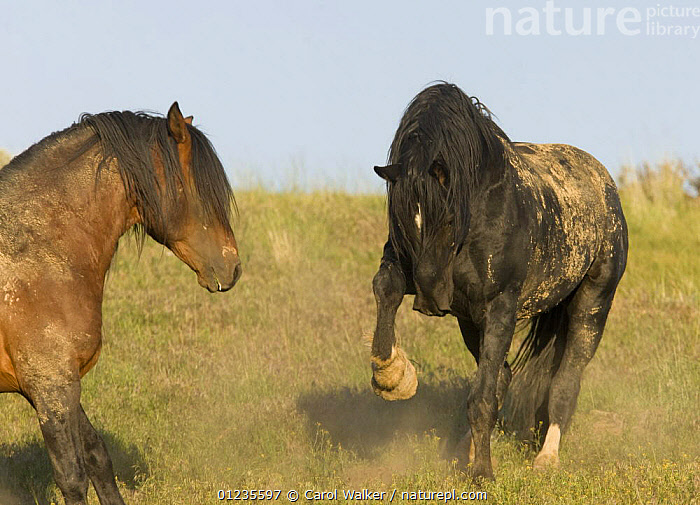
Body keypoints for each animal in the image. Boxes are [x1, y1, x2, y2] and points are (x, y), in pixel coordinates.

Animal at [0, 103, 242, 504]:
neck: (36, 255)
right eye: (201, 189)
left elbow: (97, 456)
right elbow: (71, 476)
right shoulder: (51, 386)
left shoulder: (63, 384)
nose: (233, 266)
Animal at [370, 83, 628, 480]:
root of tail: (605, 184)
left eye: (447, 219)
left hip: (592, 305)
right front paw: (393, 377)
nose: (429, 300)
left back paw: (546, 458)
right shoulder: (409, 272)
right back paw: (464, 449)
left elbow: (482, 399)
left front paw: (483, 474)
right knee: (503, 376)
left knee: (563, 383)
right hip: (468, 319)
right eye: (401, 218)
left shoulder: (500, 306)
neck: (480, 207)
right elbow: (384, 287)